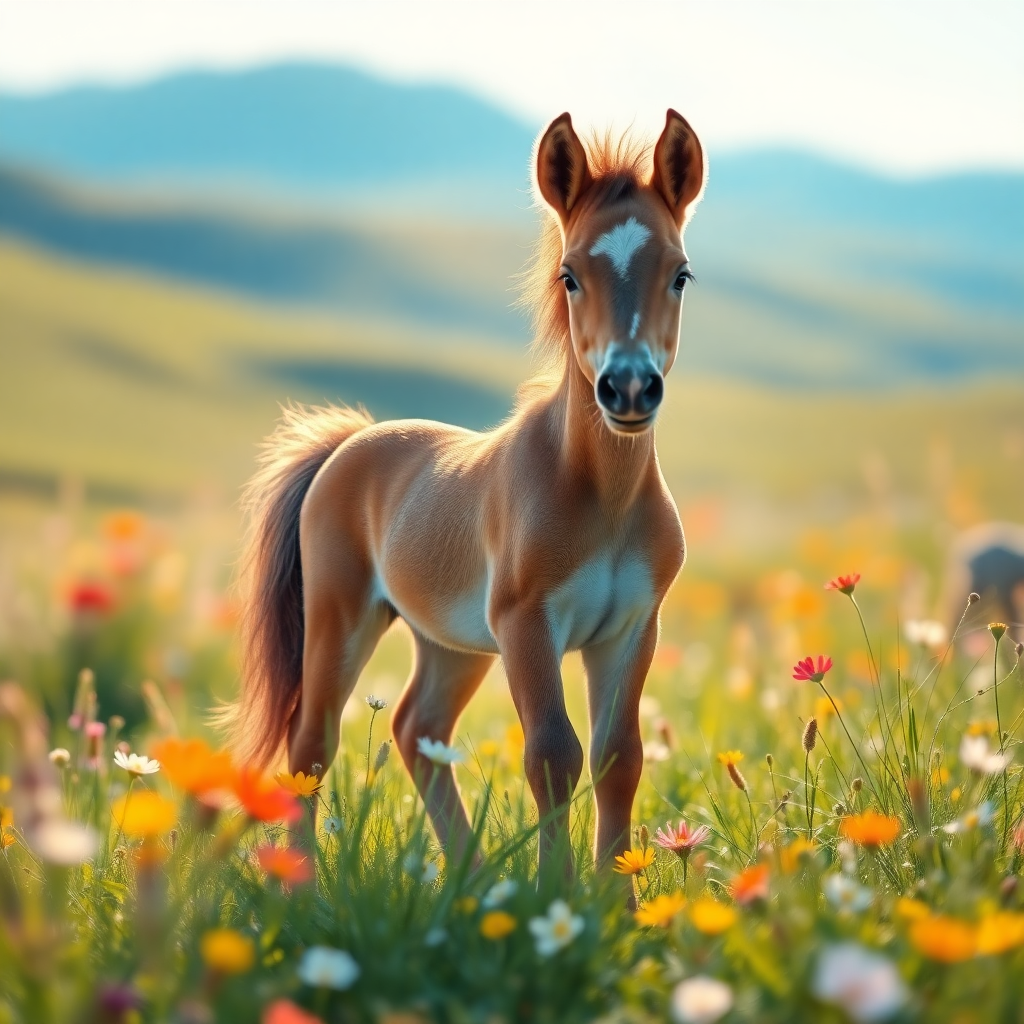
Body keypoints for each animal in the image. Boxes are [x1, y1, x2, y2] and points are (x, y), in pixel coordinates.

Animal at [224, 109, 706, 878]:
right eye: (570, 275)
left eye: (680, 274)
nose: (628, 388)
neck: (598, 496)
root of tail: (347, 442)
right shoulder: (526, 625)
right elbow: (552, 756)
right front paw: (555, 893)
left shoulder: (632, 628)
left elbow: (619, 760)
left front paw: (615, 901)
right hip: (341, 617)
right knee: (311, 749)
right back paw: (303, 884)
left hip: (450, 641)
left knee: (415, 728)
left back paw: (474, 880)